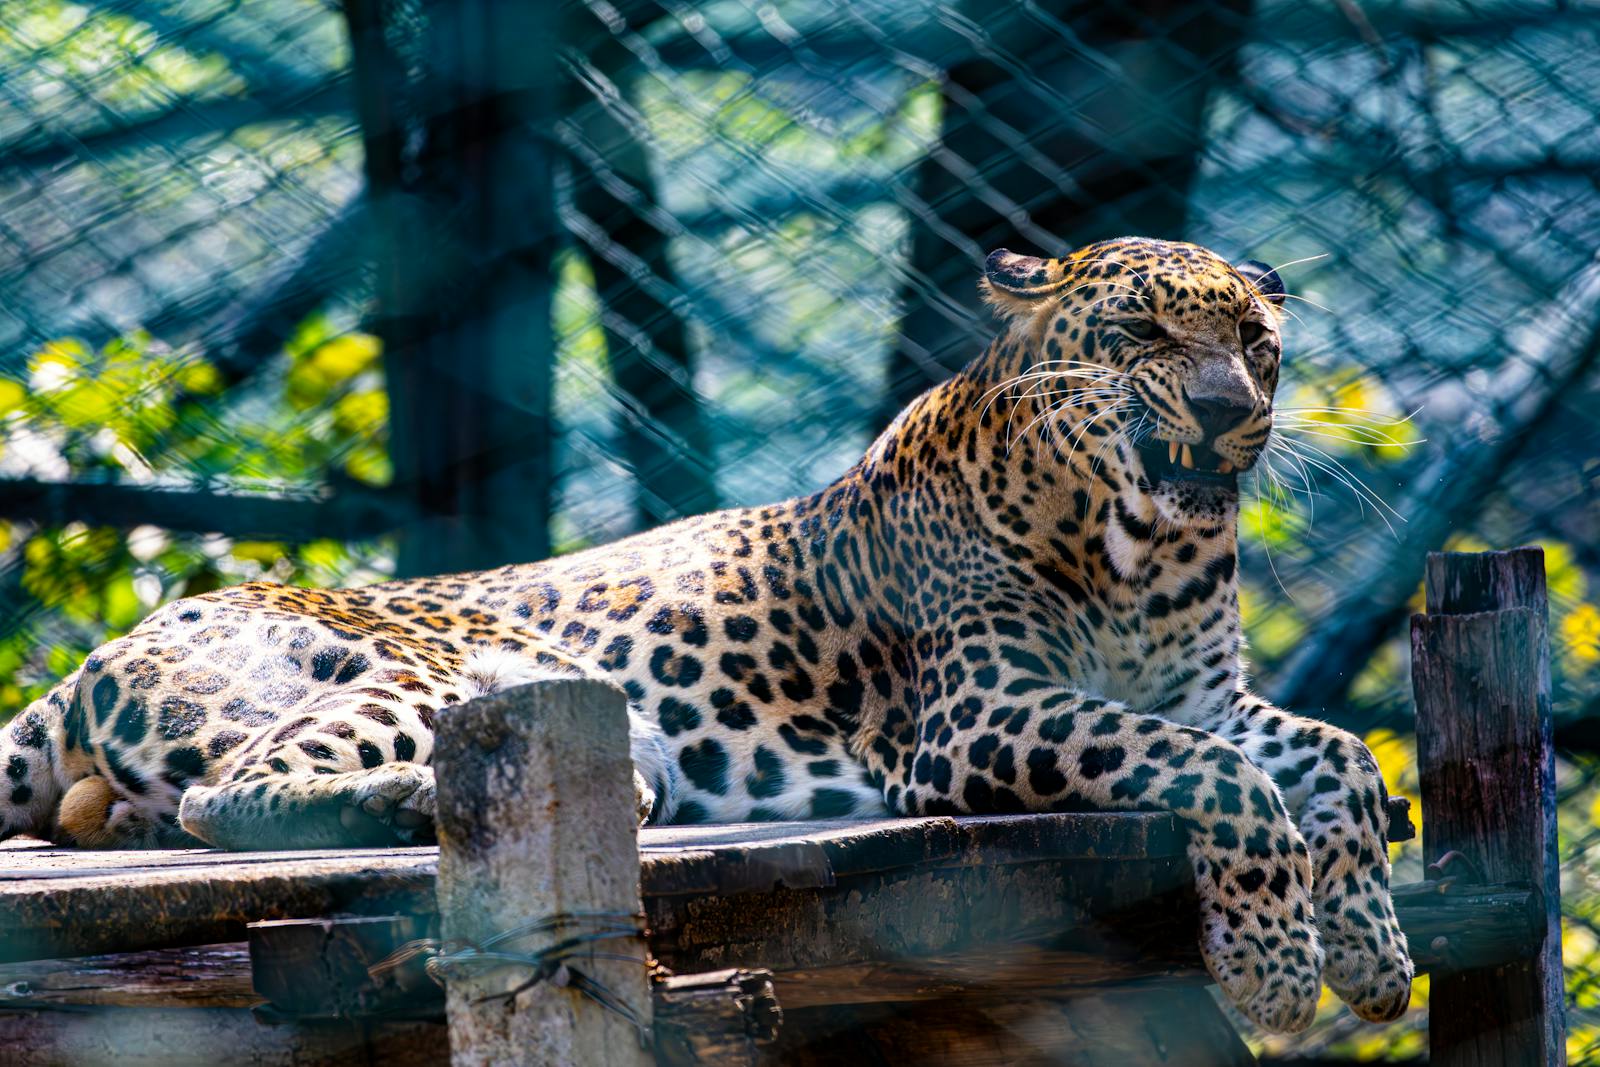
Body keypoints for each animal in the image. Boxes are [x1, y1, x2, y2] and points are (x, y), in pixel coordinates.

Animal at [0, 236, 1412, 1034]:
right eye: (1140, 334)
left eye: (1253, 340)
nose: (1227, 411)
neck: (1145, 547)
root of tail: (83, 669)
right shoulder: (980, 716)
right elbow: (1224, 782)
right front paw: (1273, 969)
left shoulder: (1201, 694)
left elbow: (1337, 759)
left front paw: (1373, 952)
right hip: (428, 670)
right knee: (233, 792)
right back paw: (466, 793)